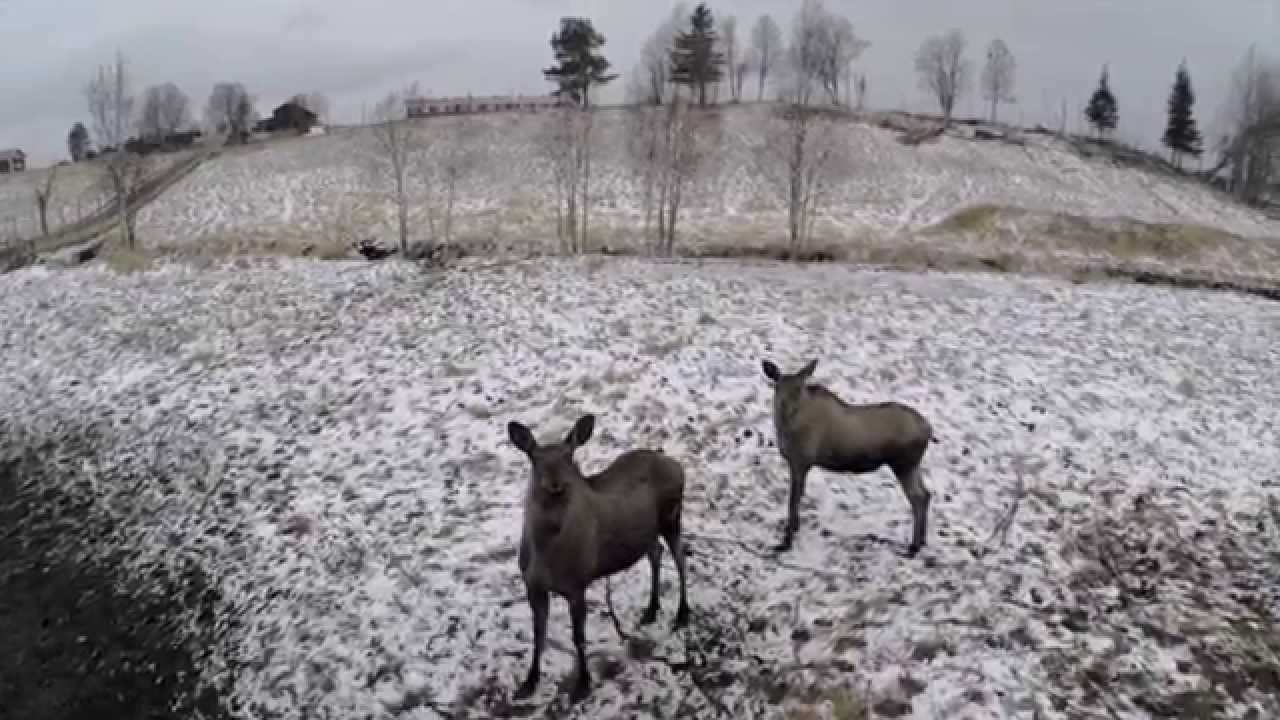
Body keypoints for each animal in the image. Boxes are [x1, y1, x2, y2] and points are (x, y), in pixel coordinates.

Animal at [507, 414, 690, 703]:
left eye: (569, 455)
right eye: (534, 457)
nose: (556, 483)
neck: (546, 556)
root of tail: (676, 464)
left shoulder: (577, 584)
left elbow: (579, 638)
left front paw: (583, 684)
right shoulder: (532, 586)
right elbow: (538, 635)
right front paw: (529, 682)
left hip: (671, 516)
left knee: (681, 558)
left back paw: (682, 613)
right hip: (647, 532)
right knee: (656, 553)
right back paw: (651, 609)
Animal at [761, 358, 935, 558]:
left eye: (798, 389)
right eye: (777, 386)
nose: (785, 407)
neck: (786, 429)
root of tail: (929, 430)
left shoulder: (800, 462)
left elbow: (793, 501)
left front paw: (786, 542)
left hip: (903, 464)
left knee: (917, 497)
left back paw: (913, 547)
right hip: (912, 465)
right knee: (925, 494)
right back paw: (921, 542)